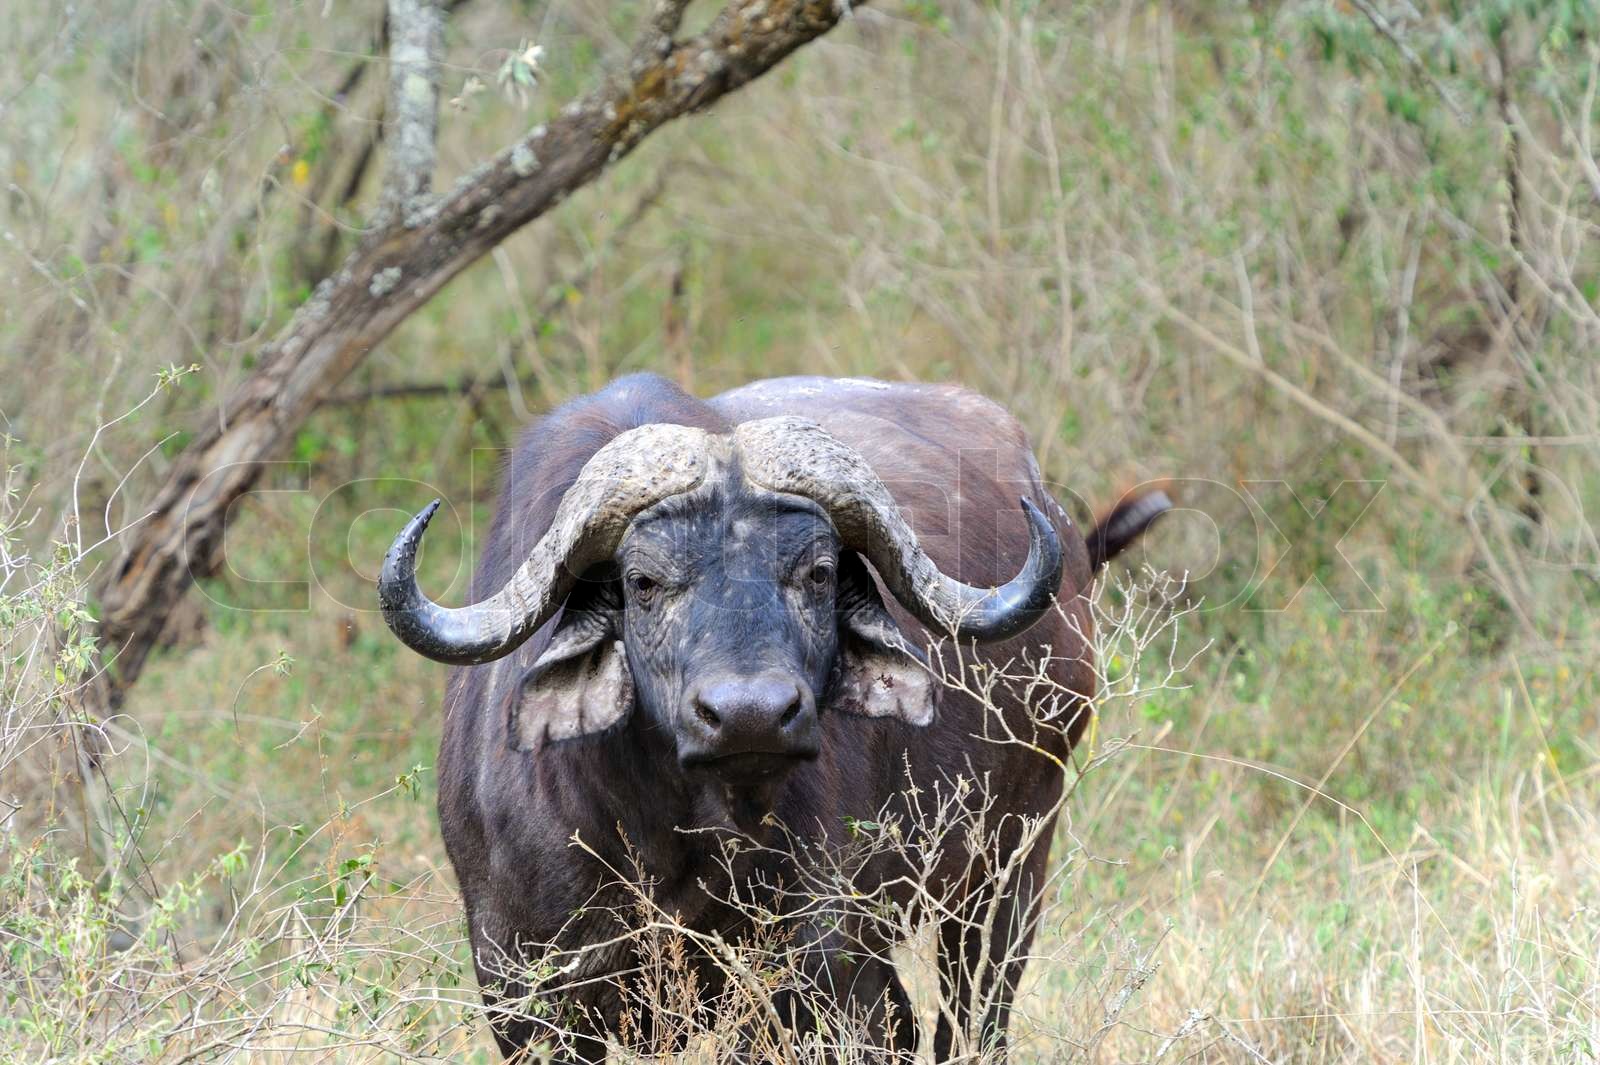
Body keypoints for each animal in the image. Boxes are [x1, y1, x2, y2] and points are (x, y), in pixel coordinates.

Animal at [379, 373, 1168, 1061]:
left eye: (817, 572)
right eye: (642, 581)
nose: (750, 715)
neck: (664, 827)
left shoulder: (809, 969)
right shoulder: (522, 989)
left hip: (1009, 866)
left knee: (972, 1012)